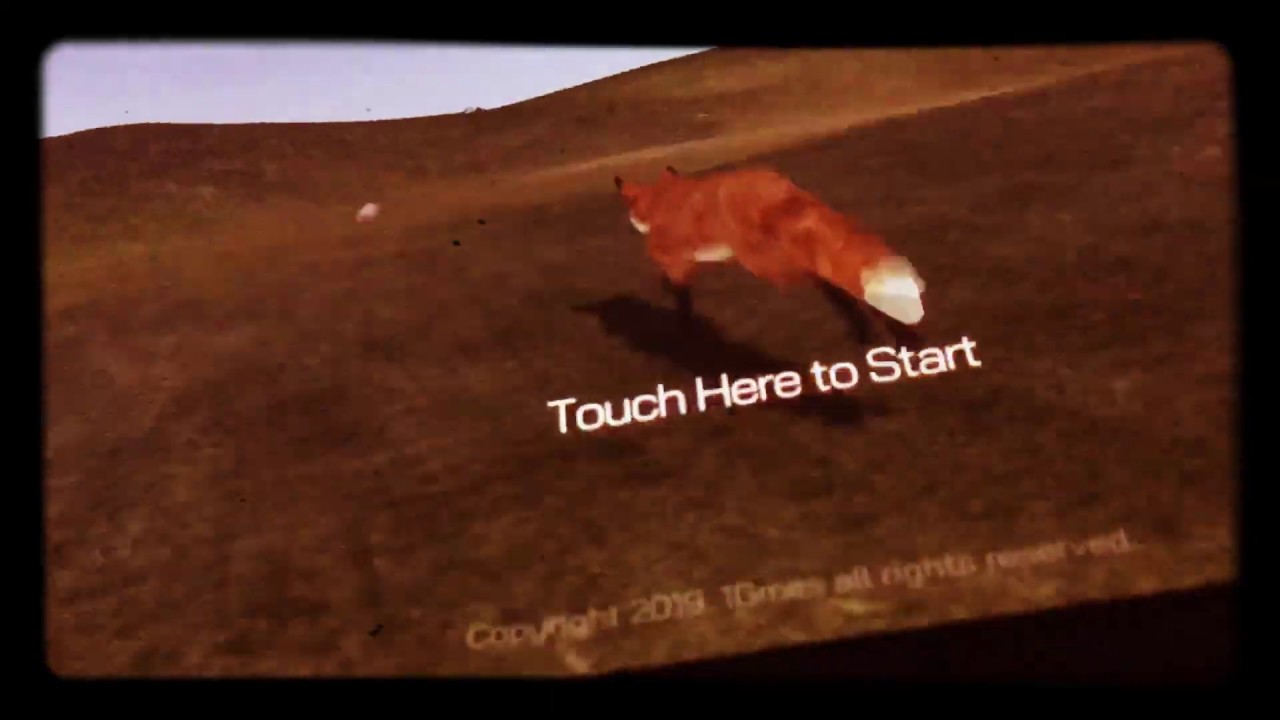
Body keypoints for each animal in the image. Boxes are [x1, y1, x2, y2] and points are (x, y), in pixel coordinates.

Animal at [613, 164, 926, 345]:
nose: (633, 224)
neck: (661, 202)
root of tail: (782, 186)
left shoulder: (677, 261)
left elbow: (681, 302)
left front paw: (688, 334)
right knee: (842, 287)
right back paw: (875, 332)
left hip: (770, 259)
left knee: (843, 286)